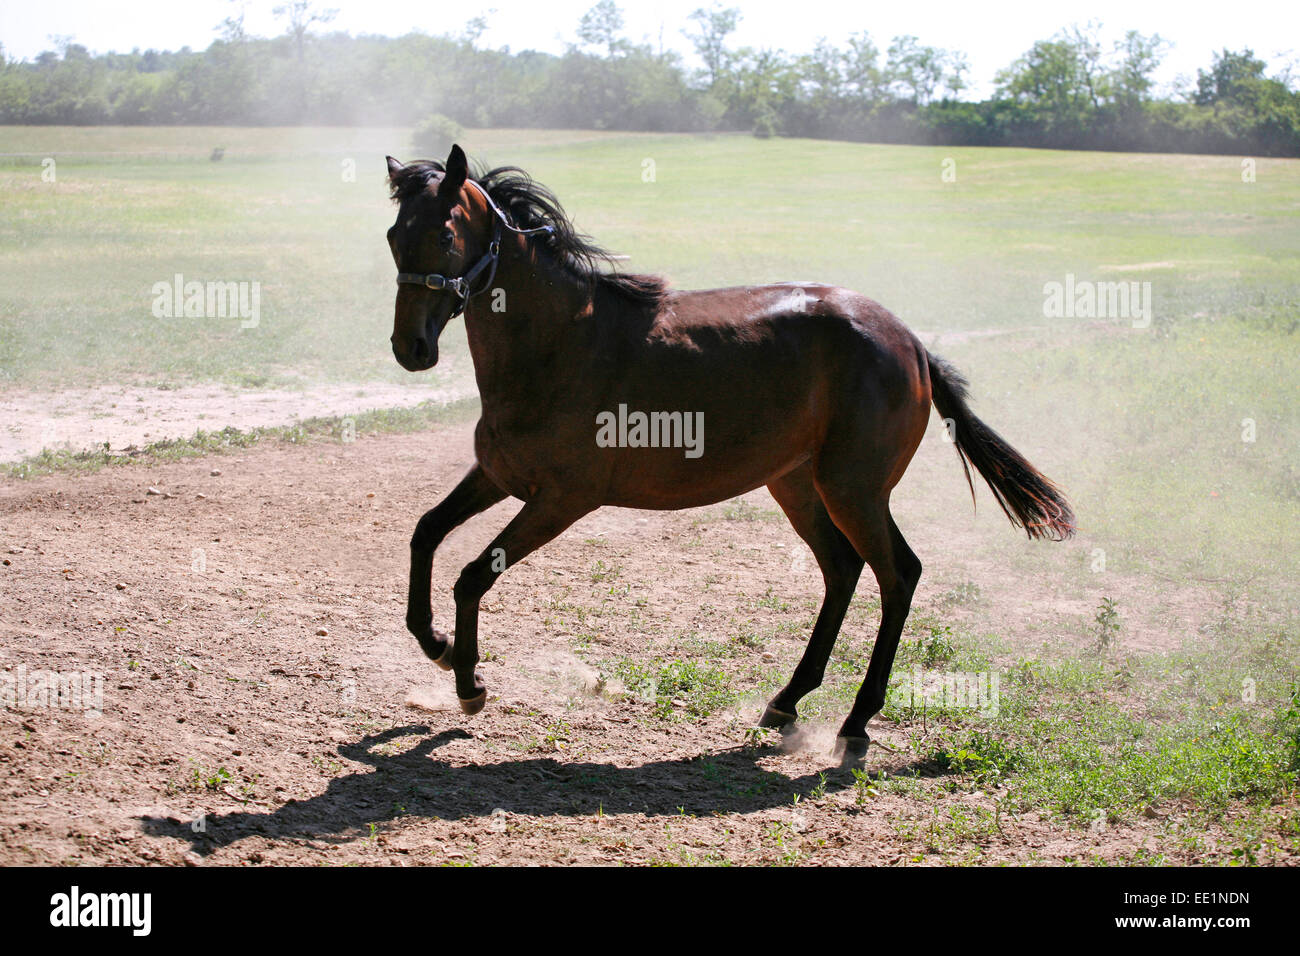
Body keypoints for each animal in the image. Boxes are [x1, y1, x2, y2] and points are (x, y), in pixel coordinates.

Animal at [384, 144, 1074, 765]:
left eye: (444, 235)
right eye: (394, 235)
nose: (410, 348)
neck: (561, 342)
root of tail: (909, 341)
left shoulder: (561, 500)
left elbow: (473, 574)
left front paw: (468, 682)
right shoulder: (499, 476)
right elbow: (425, 533)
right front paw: (435, 644)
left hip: (854, 489)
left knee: (898, 573)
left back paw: (854, 725)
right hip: (798, 485)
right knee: (842, 568)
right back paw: (786, 702)